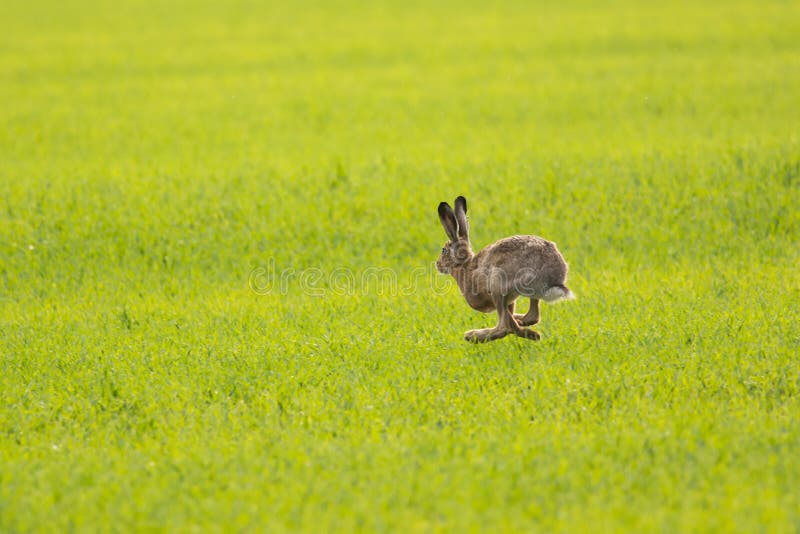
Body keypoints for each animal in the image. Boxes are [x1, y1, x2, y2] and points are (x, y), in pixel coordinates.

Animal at [436, 196, 574, 342]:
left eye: (443, 250)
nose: (437, 264)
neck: (465, 265)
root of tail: (554, 280)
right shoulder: (509, 300)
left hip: (497, 285)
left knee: (504, 327)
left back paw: (473, 336)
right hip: (525, 294)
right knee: (531, 316)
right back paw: (528, 329)